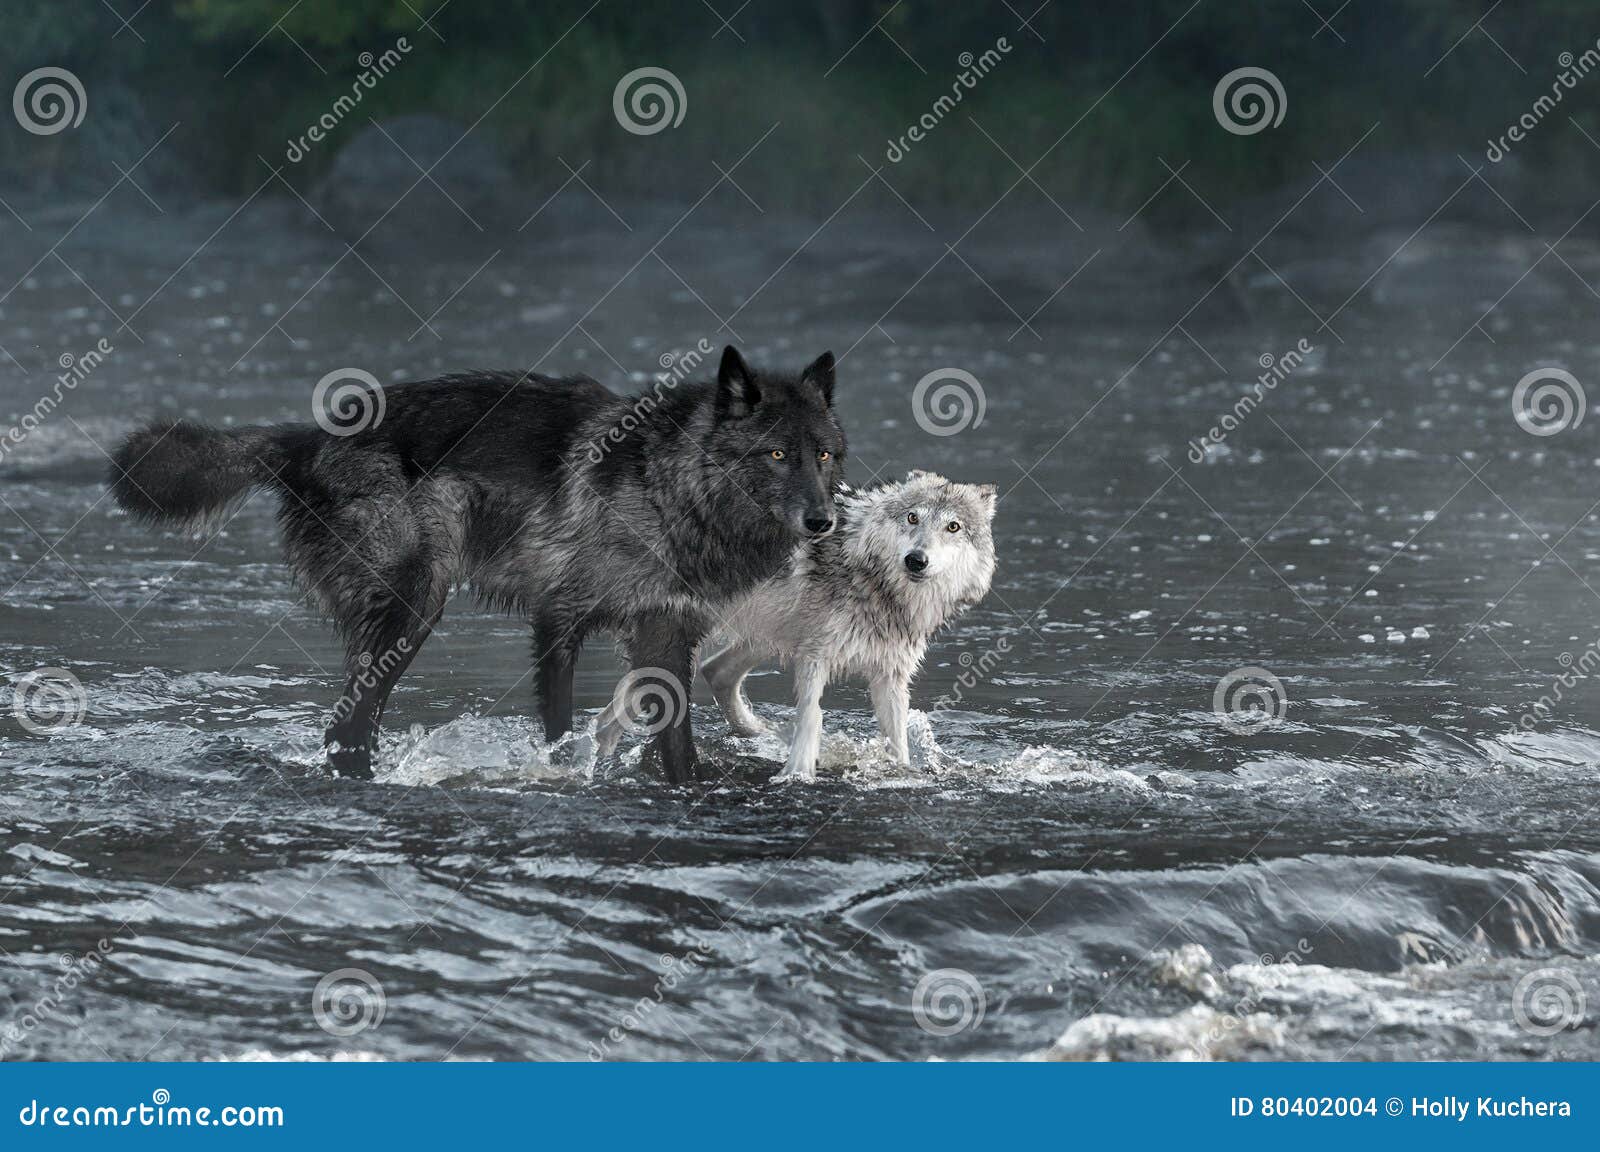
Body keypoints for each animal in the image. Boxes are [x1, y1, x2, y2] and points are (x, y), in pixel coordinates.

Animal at [107, 346, 846, 783]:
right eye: (777, 455)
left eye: (823, 454)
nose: (822, 520)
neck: (669, 487)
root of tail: (307, 436)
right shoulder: (558, 619)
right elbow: (560, 727)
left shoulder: (667, 636)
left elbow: (676, 743)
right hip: (414, 610)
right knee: (347, 727)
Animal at [595, 471, 996, 781]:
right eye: (912, 518)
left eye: (953, 527)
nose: (916, 560)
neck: (876, 584)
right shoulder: (815, 656)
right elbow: (813, 715)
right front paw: (798, 773)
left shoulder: (890, 676)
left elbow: (896, 741)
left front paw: (901, 773)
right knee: (609, 718)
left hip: (758, 638)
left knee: (714, 673)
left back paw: (758, 732)